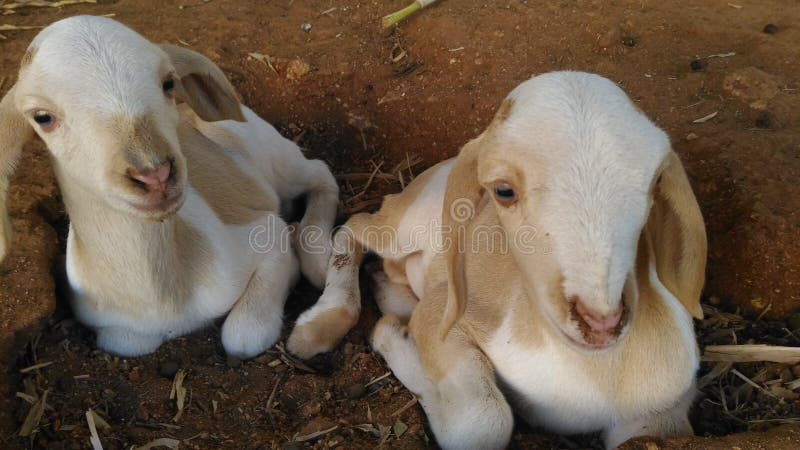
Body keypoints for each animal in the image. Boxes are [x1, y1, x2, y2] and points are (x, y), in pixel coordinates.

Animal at [0, 15, 341, 359]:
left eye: (167, 83)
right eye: (42, 117)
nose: (155, 176)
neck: (166, 297)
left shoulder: (264, 237)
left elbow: (243, 336)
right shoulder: (117, 332)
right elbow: (127, 341)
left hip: (274, 155)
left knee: (320, 174)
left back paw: (316, 254)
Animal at [315, 71, 707, 449]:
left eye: (655, 183)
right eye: (503, 191)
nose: (601, 322)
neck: (590, 368)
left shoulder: (658, 415)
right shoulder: (447, 314)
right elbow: (484, 423)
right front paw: (391, 338)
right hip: (406, 224)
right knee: (354, 227)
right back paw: (322, 322)